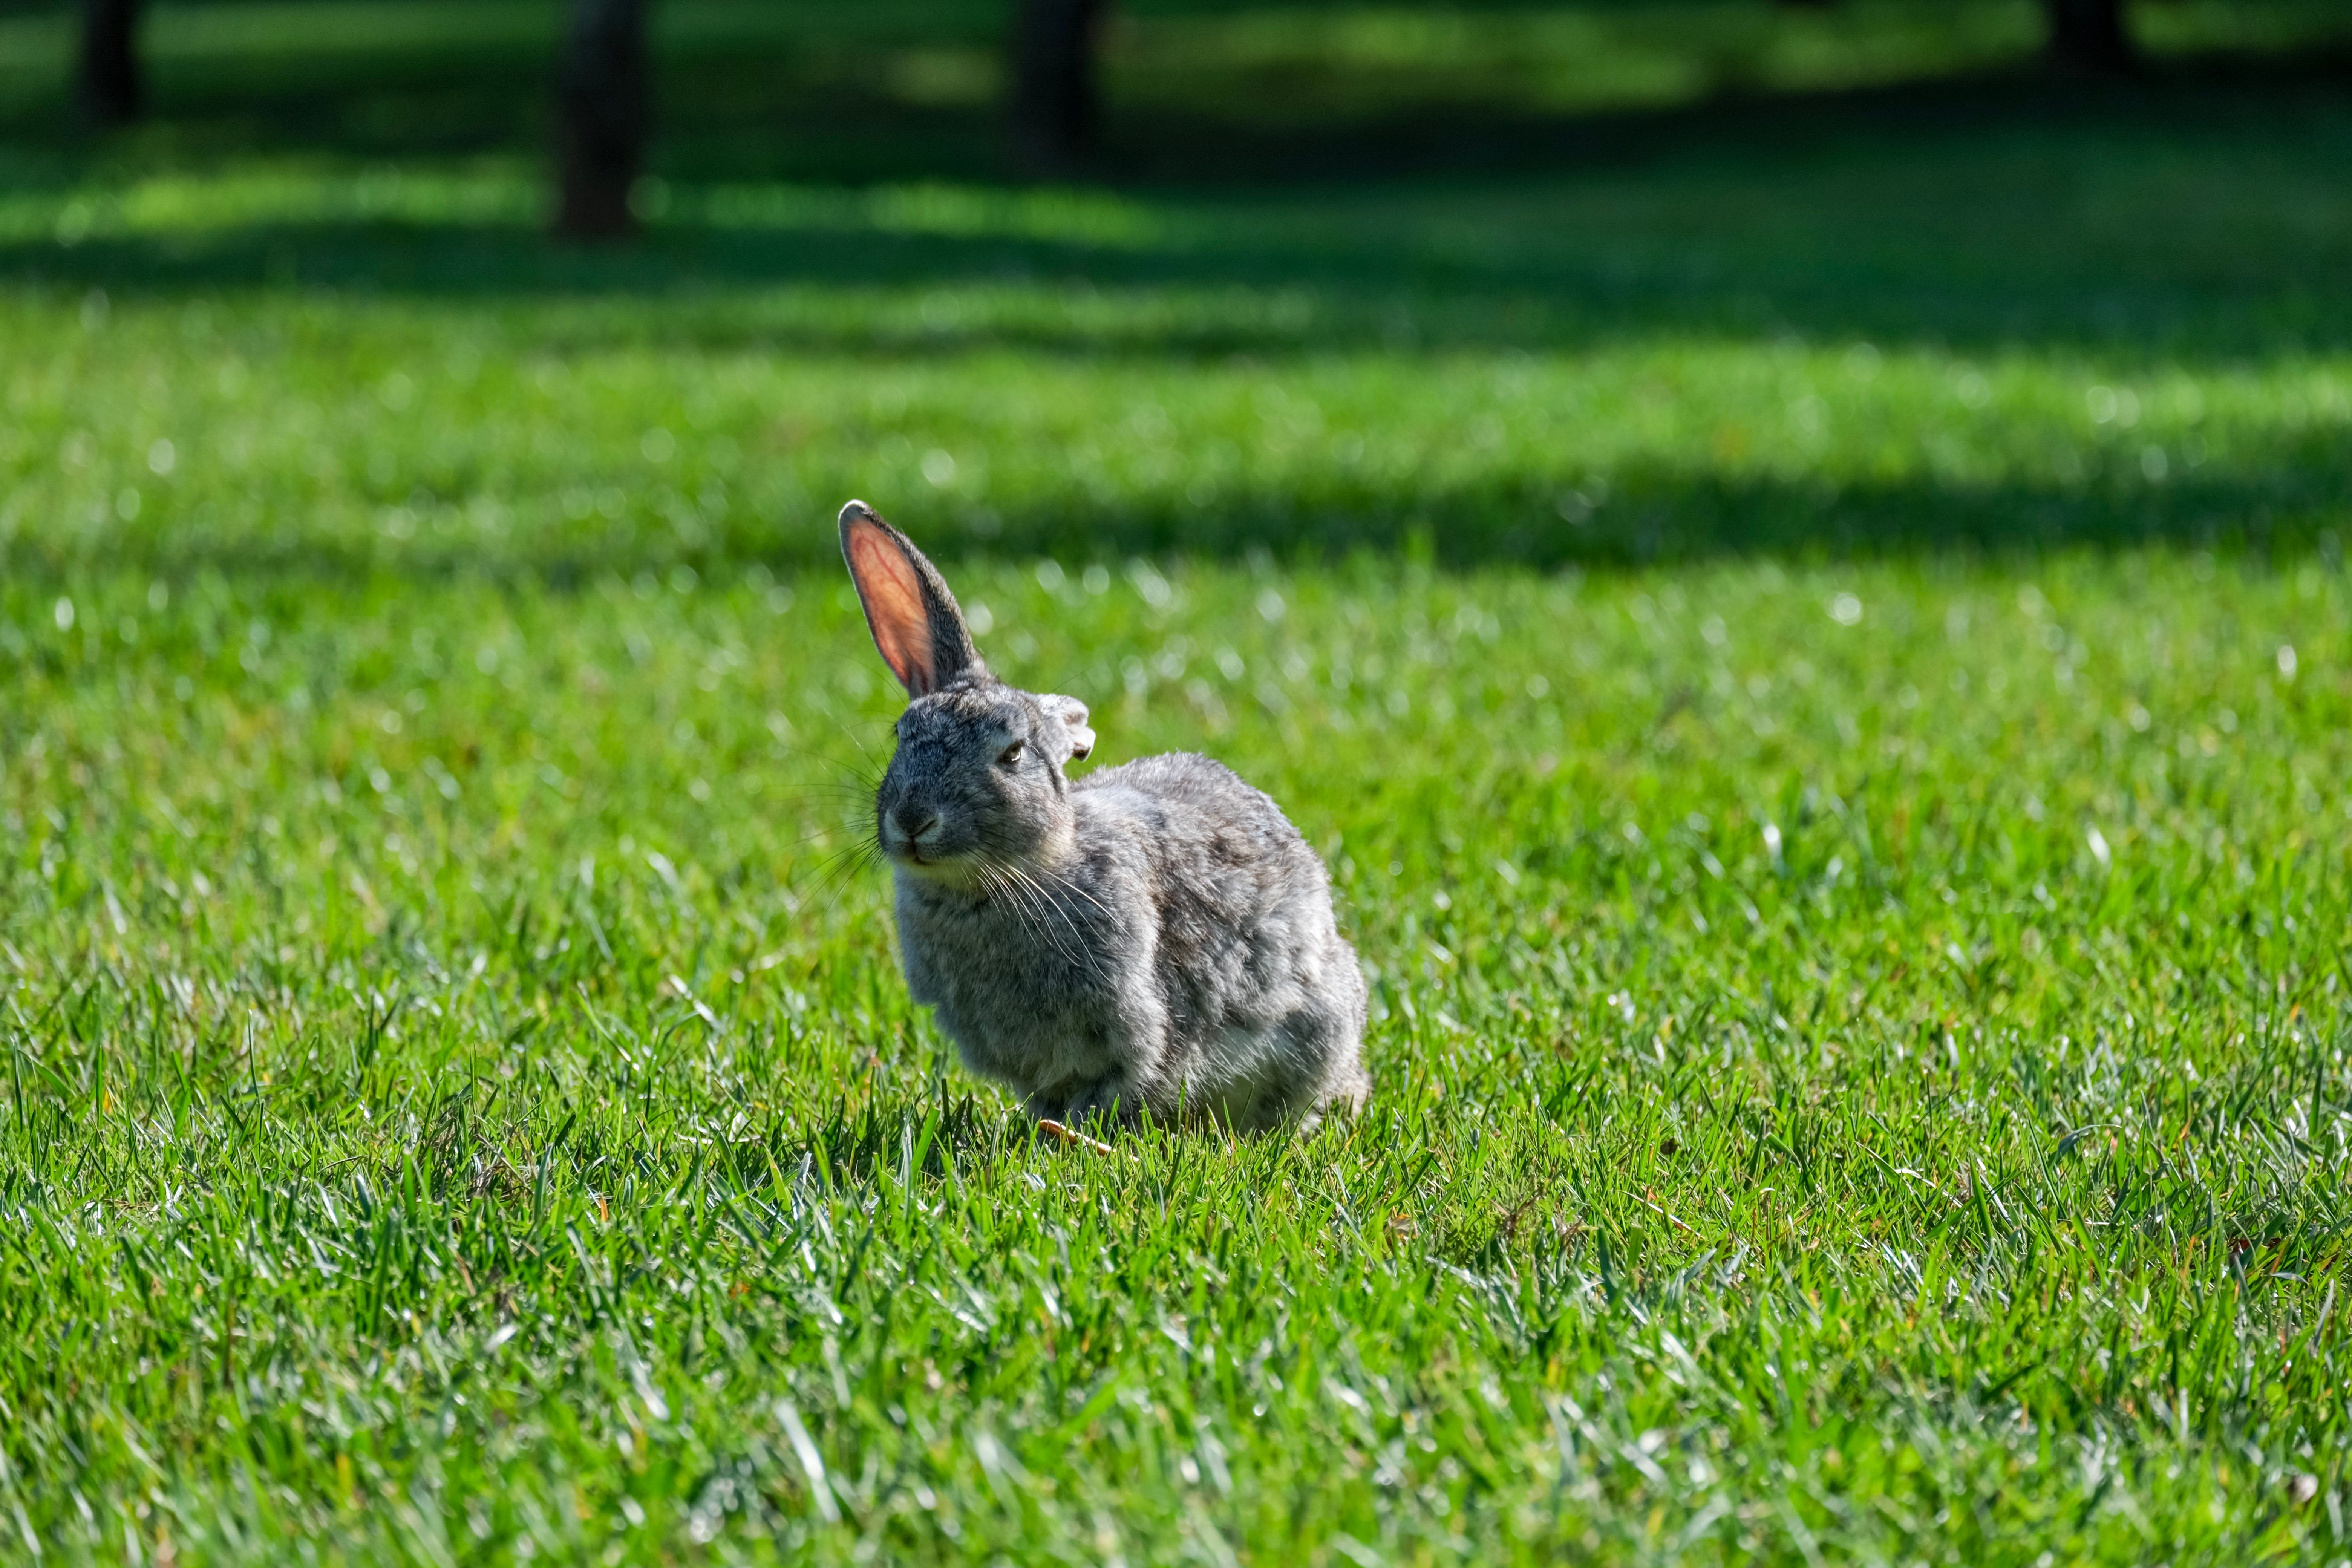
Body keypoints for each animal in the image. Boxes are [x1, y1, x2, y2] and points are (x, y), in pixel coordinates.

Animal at [837, 499, 1370, 1134]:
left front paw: (1076, 1138)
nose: (913, 820)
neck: (1010, 878)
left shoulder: (1135, 1030)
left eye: (1012, 753)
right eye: (902, 735)